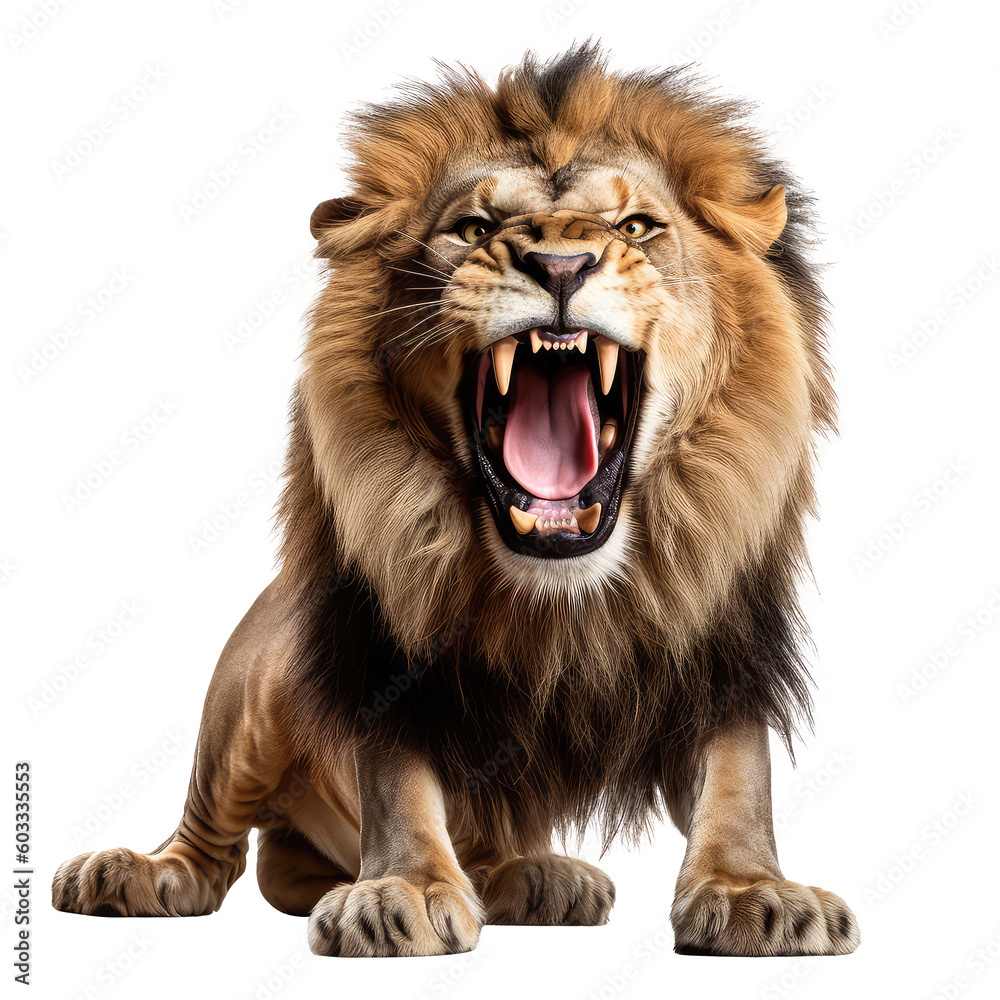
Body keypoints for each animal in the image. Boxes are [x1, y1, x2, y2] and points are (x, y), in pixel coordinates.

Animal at [52, 45, 860, 958]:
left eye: (635, 228)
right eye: (473, 230)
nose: (560, 266)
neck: (560, 595)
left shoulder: (723, 651)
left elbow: (738, 778)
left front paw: (753, 889)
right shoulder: (387, 657)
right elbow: (398, 780)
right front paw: (398, 890)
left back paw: (537, 878)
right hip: (245, 702)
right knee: (215, 846)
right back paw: (137, 872)